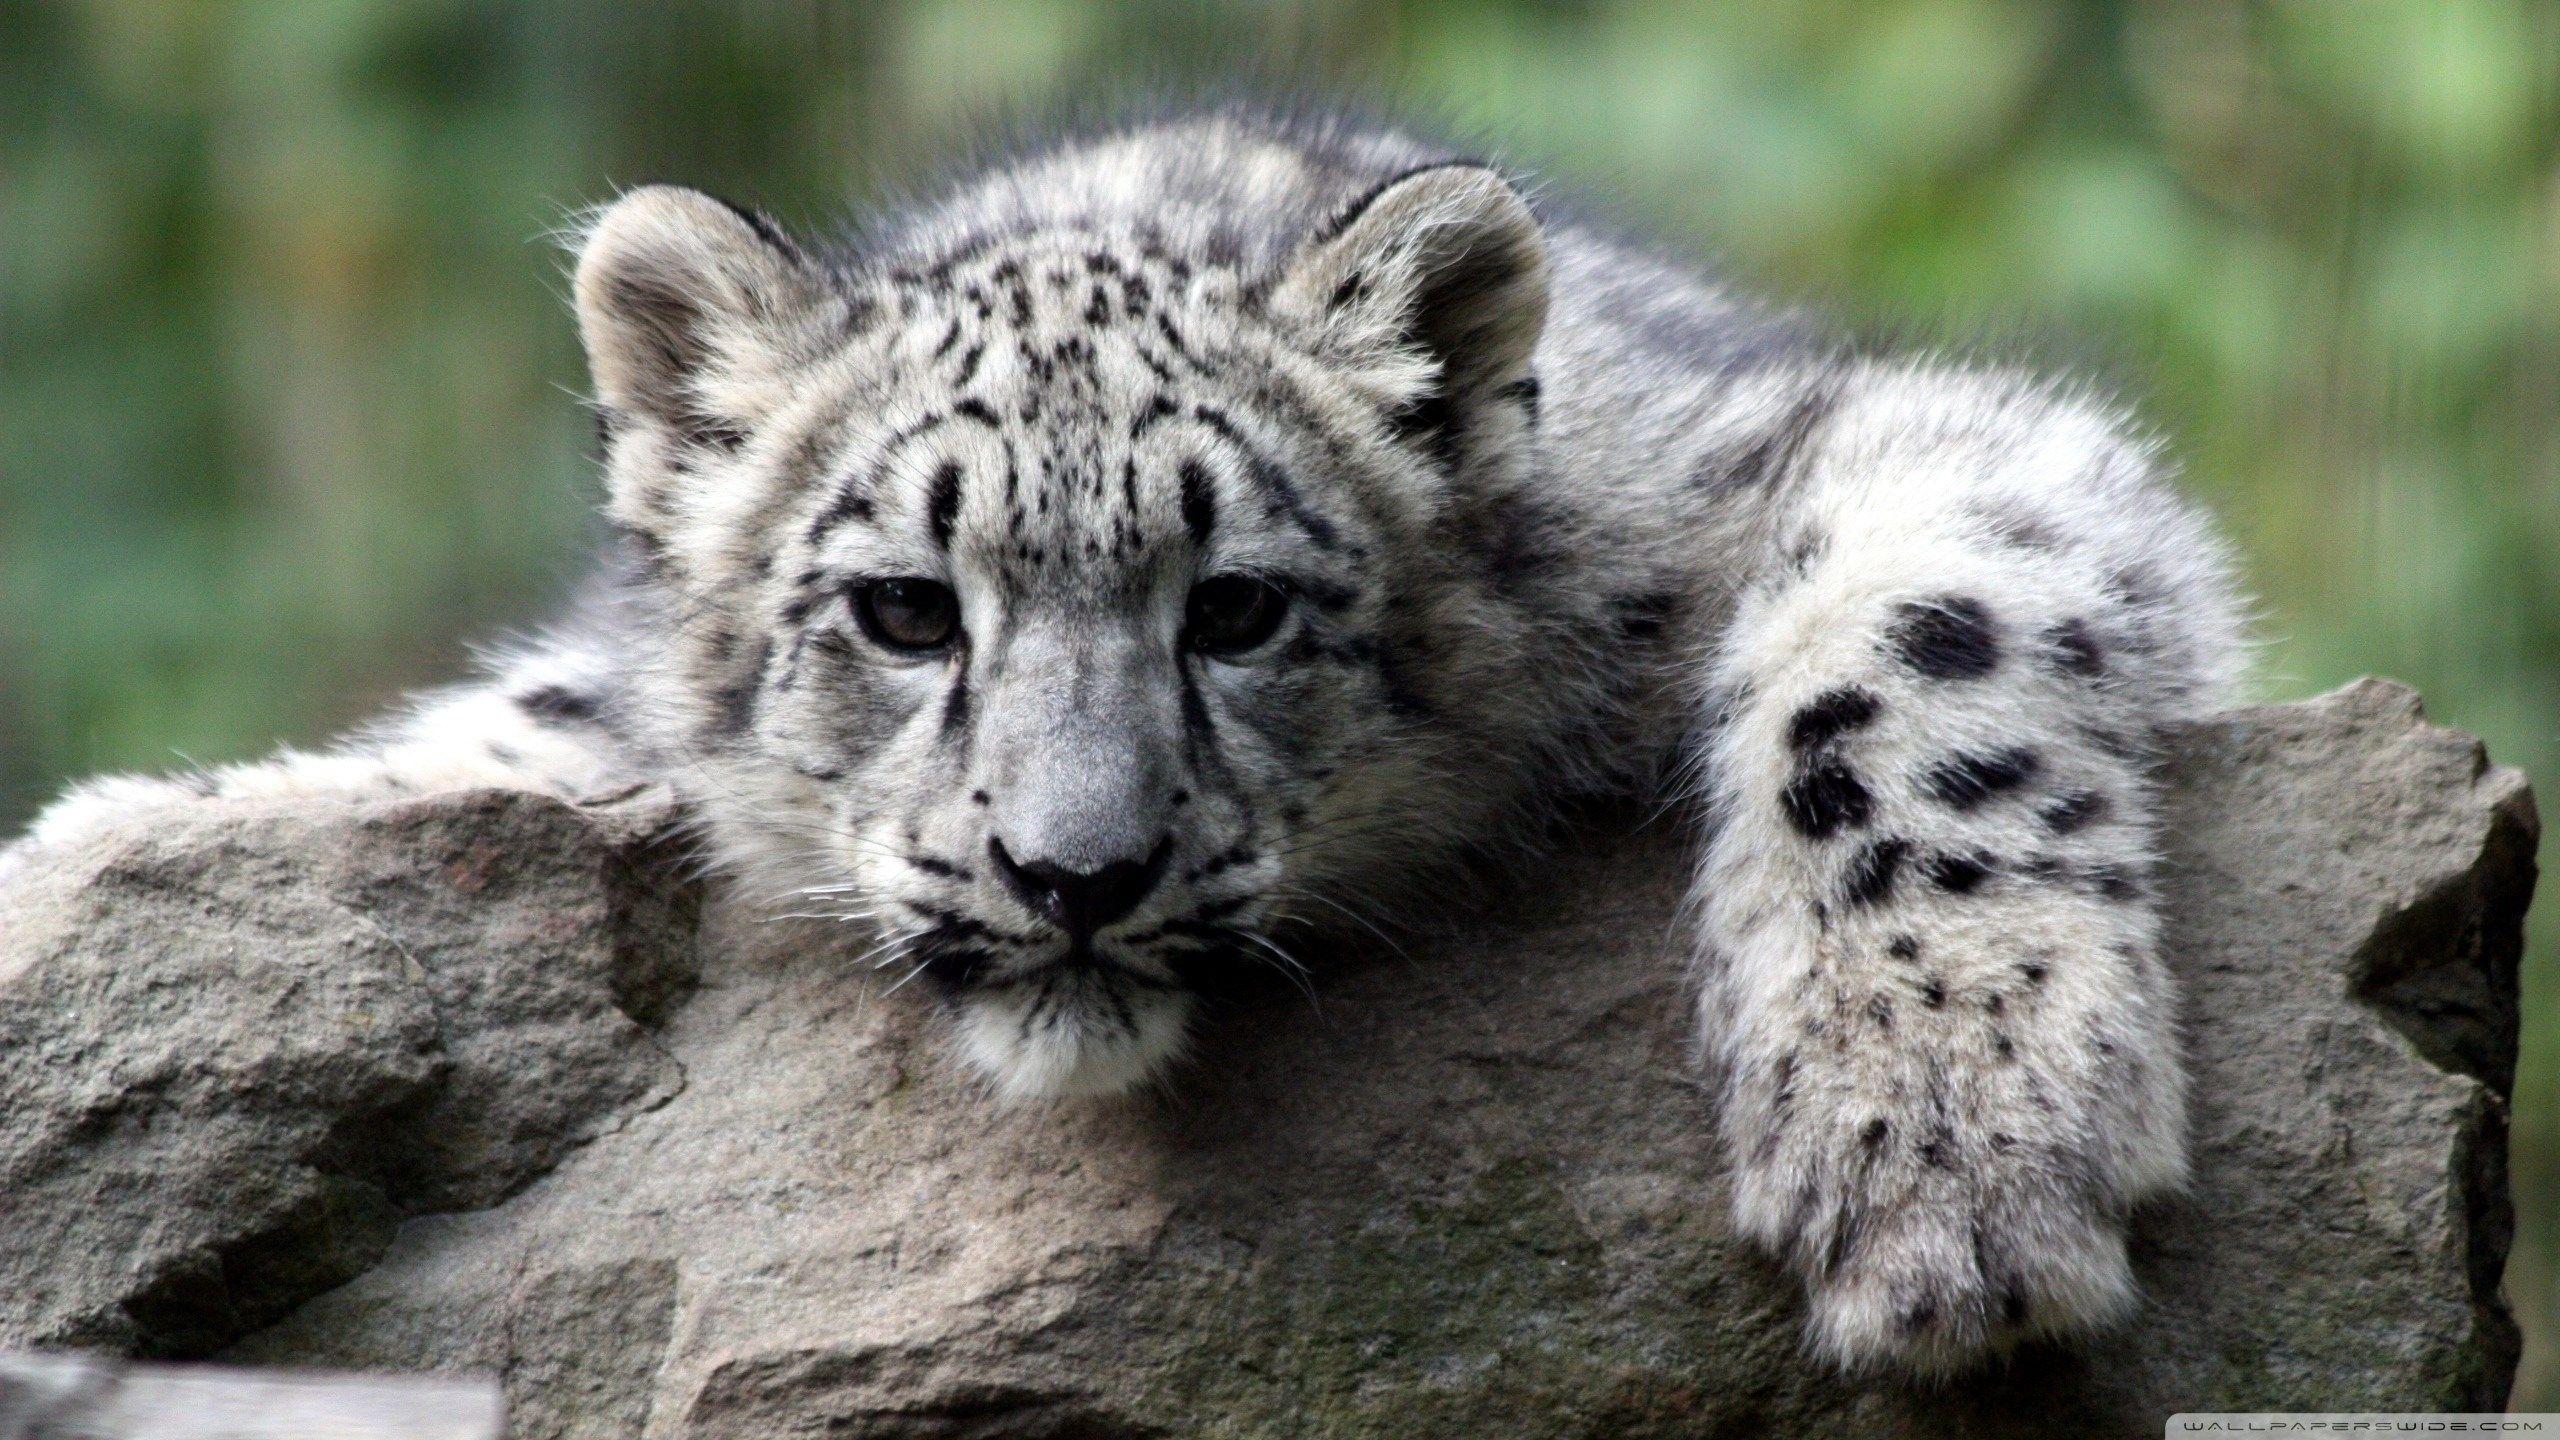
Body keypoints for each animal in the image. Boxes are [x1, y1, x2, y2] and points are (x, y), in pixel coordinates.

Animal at [2, 104, 2247, 1377]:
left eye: (1235, 605)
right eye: (906, 610)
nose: (1070, 874)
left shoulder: (1891, 452)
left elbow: (1910, 648)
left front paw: (1945, 1151)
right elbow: (493, 740)